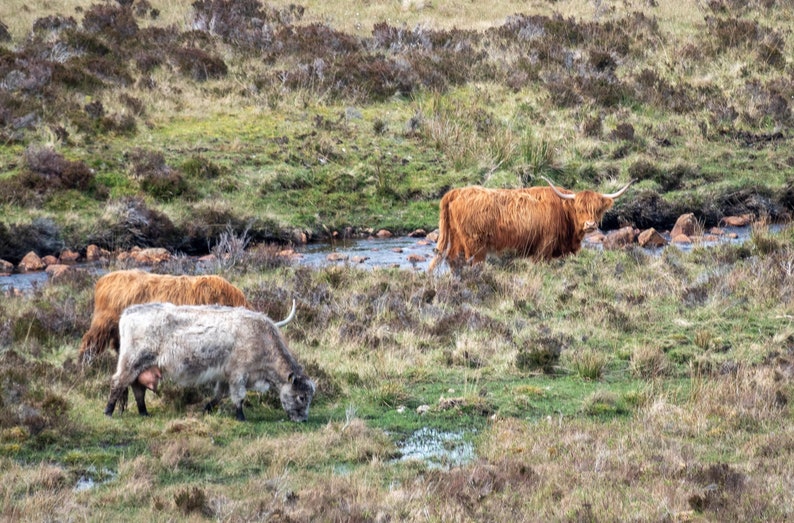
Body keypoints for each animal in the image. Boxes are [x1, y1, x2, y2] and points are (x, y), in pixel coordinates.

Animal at [105, 303, 314, 422]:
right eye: (301, 397)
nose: (303, 420)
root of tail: (127, 313)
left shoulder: (225, 375)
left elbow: (219, 395)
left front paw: (206, 408)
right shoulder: (238, 374)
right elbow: (238, 397)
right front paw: (241, 417)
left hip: (141, 366)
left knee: (137, 389)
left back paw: (143, 412)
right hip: (131, 362)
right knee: (118, 382)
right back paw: (108, 411)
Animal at [428, 177, 634, 271]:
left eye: (597, 210)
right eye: (579, 209)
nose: (590, 224)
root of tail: (456, 191)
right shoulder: (543, 248)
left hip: (457, 239)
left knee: (453, 260)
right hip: (475, 245)